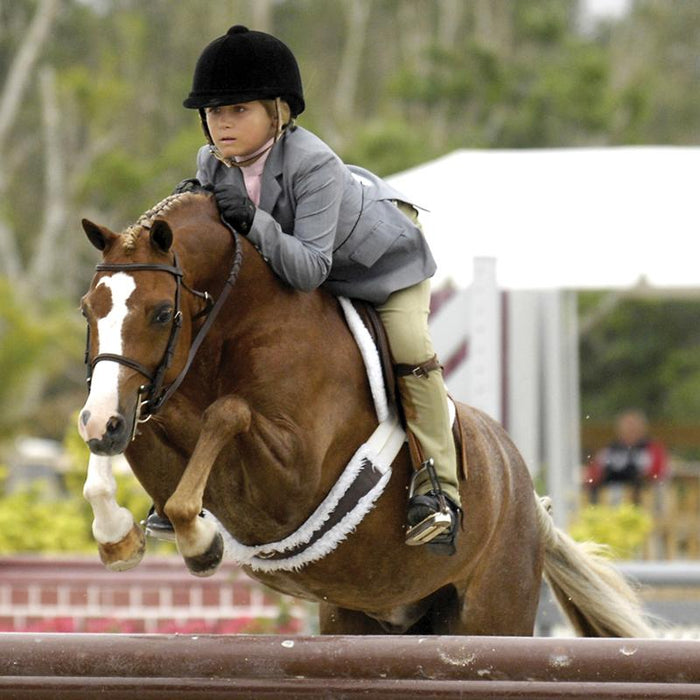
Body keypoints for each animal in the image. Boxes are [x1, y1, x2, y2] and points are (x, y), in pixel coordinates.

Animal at [77, 189, 651, 637]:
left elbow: (227, 412)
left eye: (161, 314)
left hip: (492, 614)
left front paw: (199, 541)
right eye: (88, 309)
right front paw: (116, 534)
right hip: (359, 614)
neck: (237, 321)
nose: (102, 420)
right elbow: (143, 426)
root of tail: (530, 500)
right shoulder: (156, 404)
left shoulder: (292, 478)